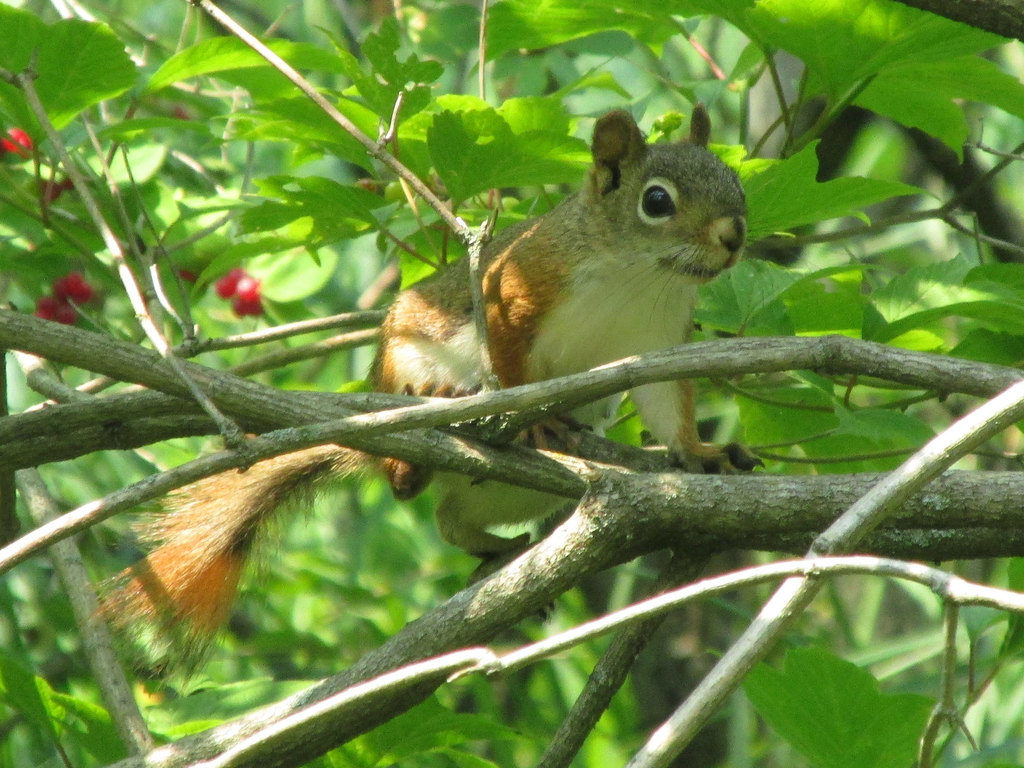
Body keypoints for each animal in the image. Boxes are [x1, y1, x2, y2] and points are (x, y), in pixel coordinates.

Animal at [101, 106, 748, 670]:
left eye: (737, 183)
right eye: (656, 200)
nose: (735, 235)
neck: (637, 277)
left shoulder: (657, 339)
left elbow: (667, 406)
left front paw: (700, 451)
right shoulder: (515, 290)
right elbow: (508, 367)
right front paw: (536, 419)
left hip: (511, 498)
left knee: (450, 521)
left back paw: (501, 546)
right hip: (403, 359)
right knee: (407, 488)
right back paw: (426, 430)